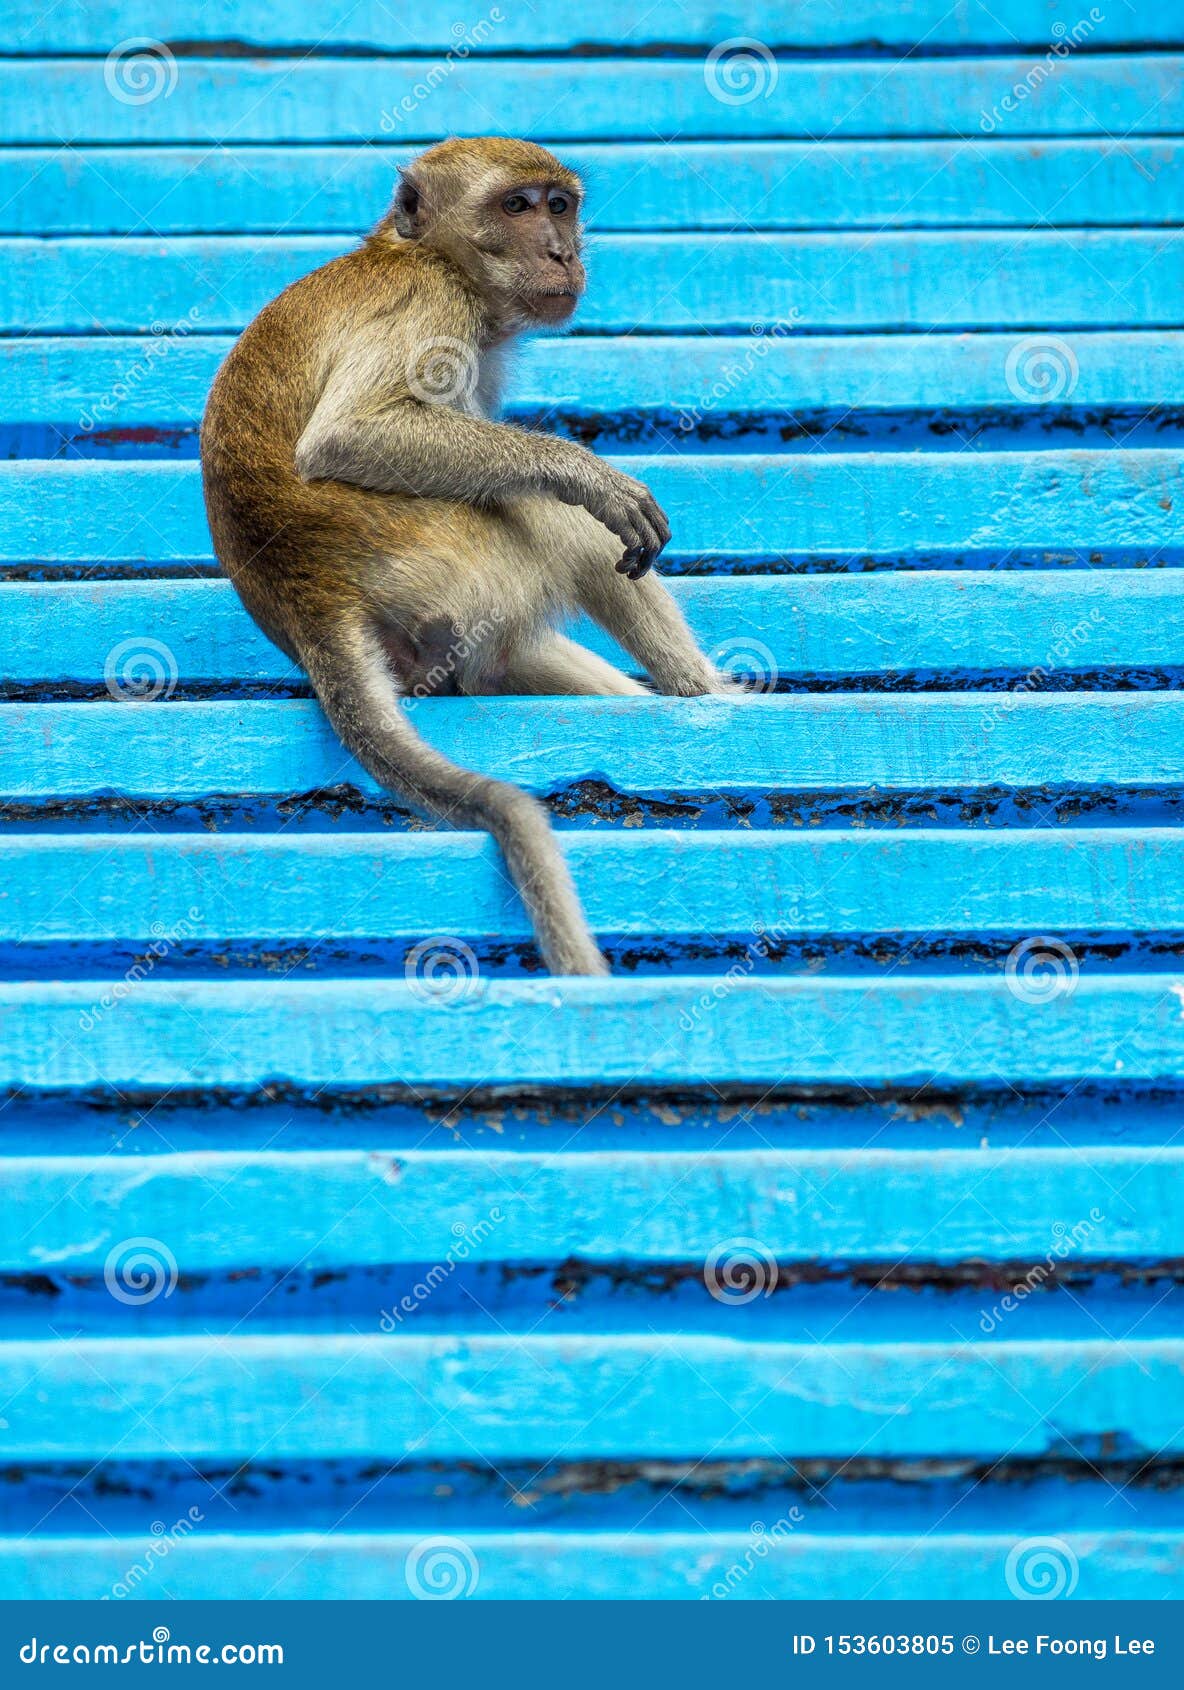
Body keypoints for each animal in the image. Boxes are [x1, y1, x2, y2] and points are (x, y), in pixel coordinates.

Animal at [201, 136, 730, 977]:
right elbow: (351, 436)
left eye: (559, 206)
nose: (562, 251)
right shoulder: (427, 305)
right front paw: (582, 469)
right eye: (516, 207)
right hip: (445, 555)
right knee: (554, 518)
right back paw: (705, 691)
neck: (417, 252)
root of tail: (310, 590)